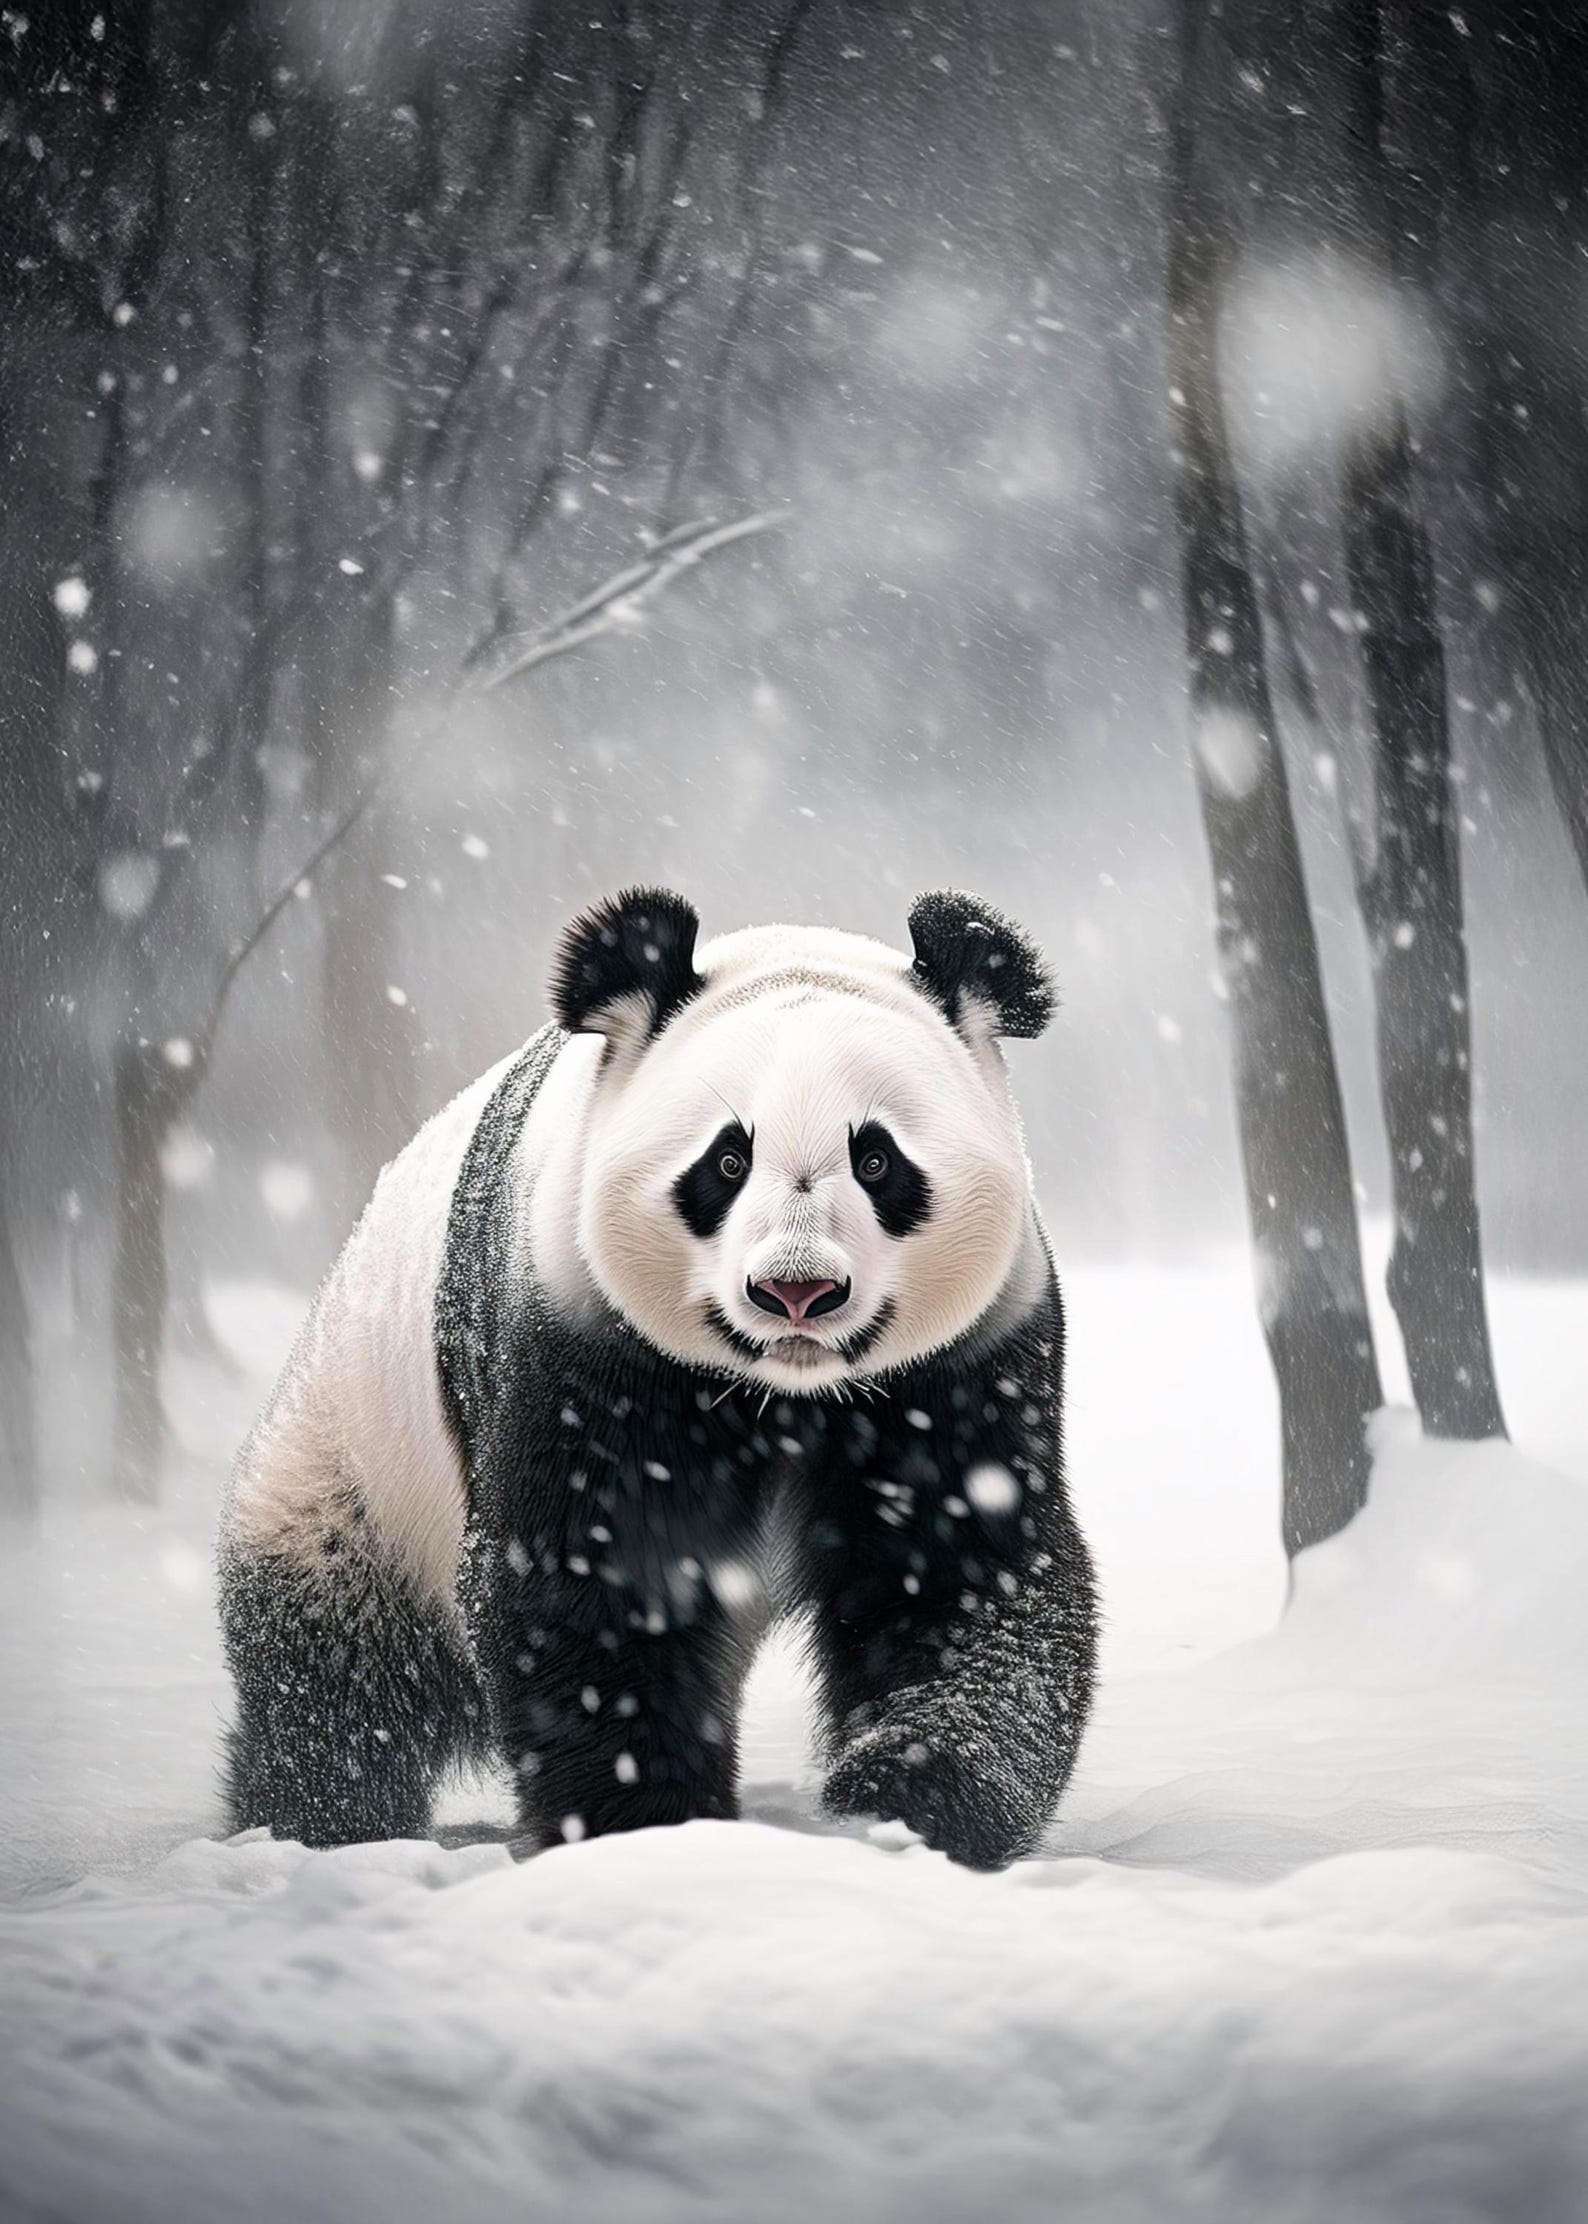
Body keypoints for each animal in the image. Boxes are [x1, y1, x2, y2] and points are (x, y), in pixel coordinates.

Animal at [219, 888, 1097, 1871]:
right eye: (727, 1161)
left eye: (876, 1161)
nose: (797, 1291)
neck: (786, 1395)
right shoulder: (588, 1343)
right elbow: (596, 1575)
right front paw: (648, 1825)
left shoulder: (962, 1364)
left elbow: (961, 1571)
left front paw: (908, 1801)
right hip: (354, 1466)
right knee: (335, 1671)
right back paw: (308, 1823)